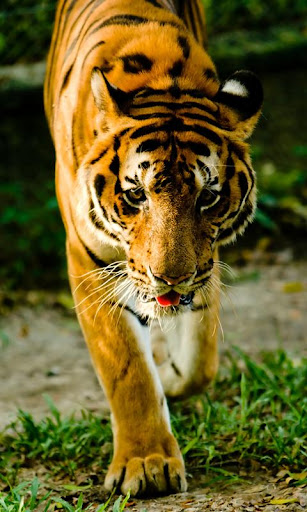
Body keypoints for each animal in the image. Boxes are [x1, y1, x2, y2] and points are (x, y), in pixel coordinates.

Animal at [44, 0, 264, 498]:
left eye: (208, 197)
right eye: (136, 195)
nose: (170, 278)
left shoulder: (206, 262)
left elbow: (202, 357)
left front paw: (173, 377)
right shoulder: (89, 262)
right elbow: (126, 368)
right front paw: (146, 464)